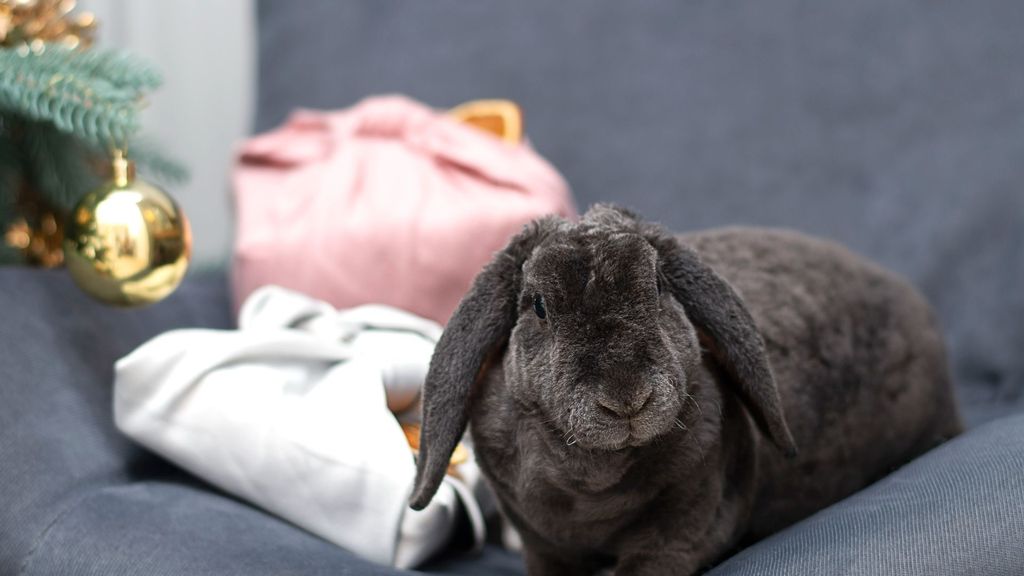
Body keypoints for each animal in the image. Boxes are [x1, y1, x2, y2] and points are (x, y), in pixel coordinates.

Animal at [409, 204, 962, 575]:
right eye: (539, 306)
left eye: (657, 286)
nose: (627, 397)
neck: (595, 483)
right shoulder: (545, 548)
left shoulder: (681, 532)